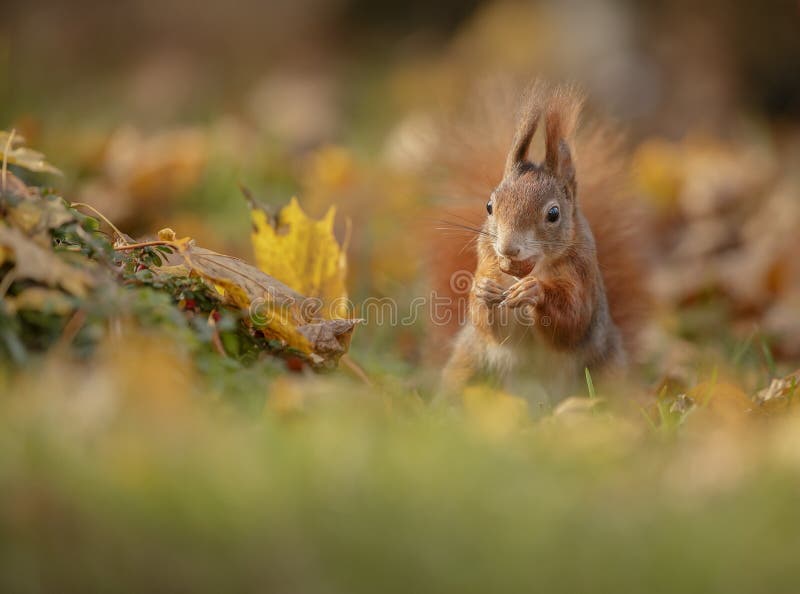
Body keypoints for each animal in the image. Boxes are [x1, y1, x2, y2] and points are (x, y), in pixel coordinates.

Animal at [436, 81, 649, 405]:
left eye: (553, 214)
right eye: (489, 206)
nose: (508, 248)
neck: (529, 270)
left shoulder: (581, 277)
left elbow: (572, 320)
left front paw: (534, 292)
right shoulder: (488, 264)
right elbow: (495, 330)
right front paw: (483, 291)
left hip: (605, 370)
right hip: (470, 362)